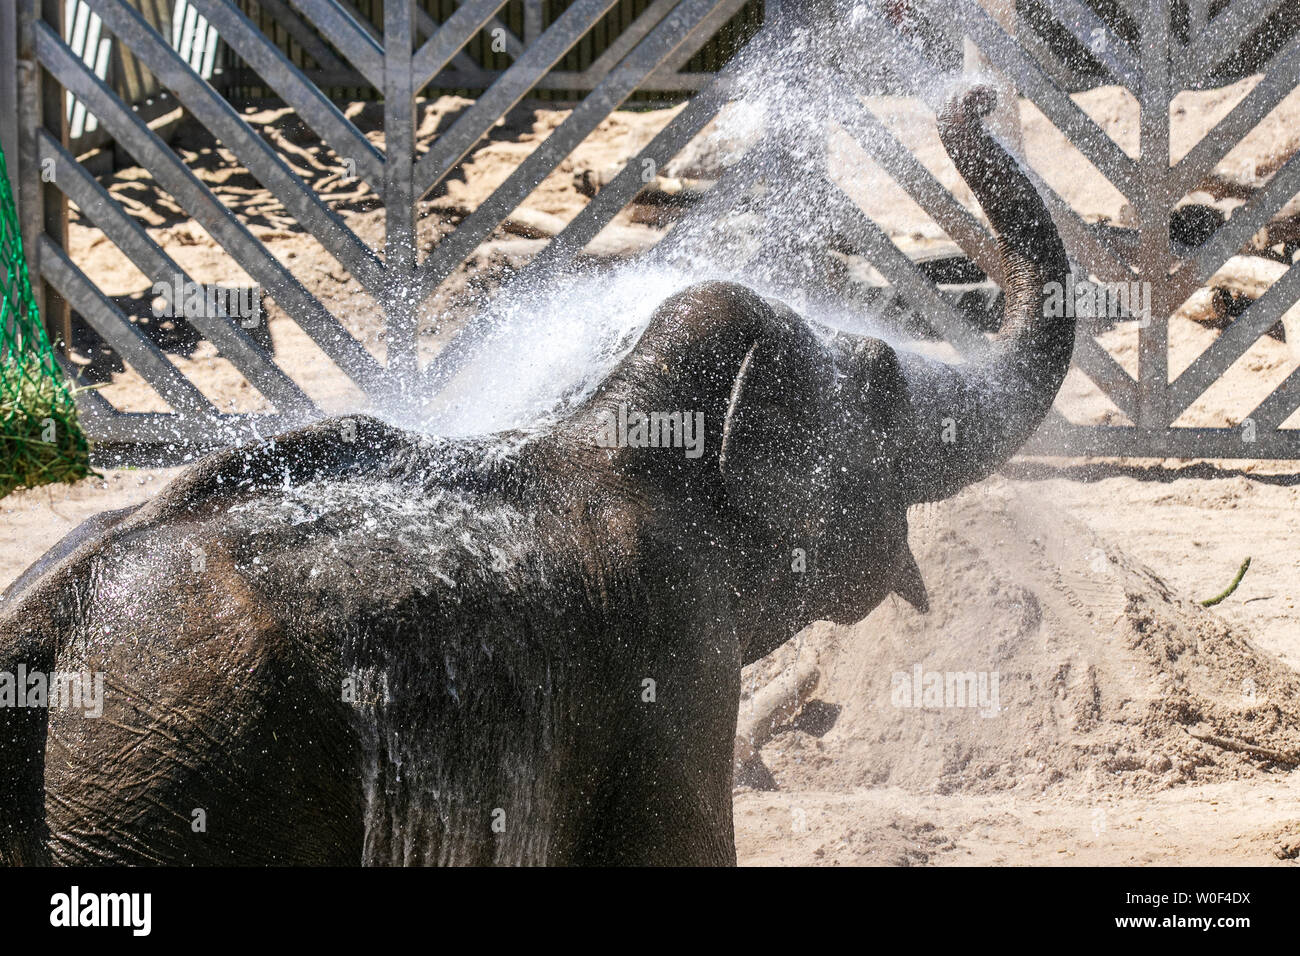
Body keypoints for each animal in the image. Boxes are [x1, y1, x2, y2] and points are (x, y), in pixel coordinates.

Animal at [0, 87, 1070, 866]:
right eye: (885, 379)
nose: (975, 96)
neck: (616, 410)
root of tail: (46, 622)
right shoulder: (677, 650)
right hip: (185, 781)